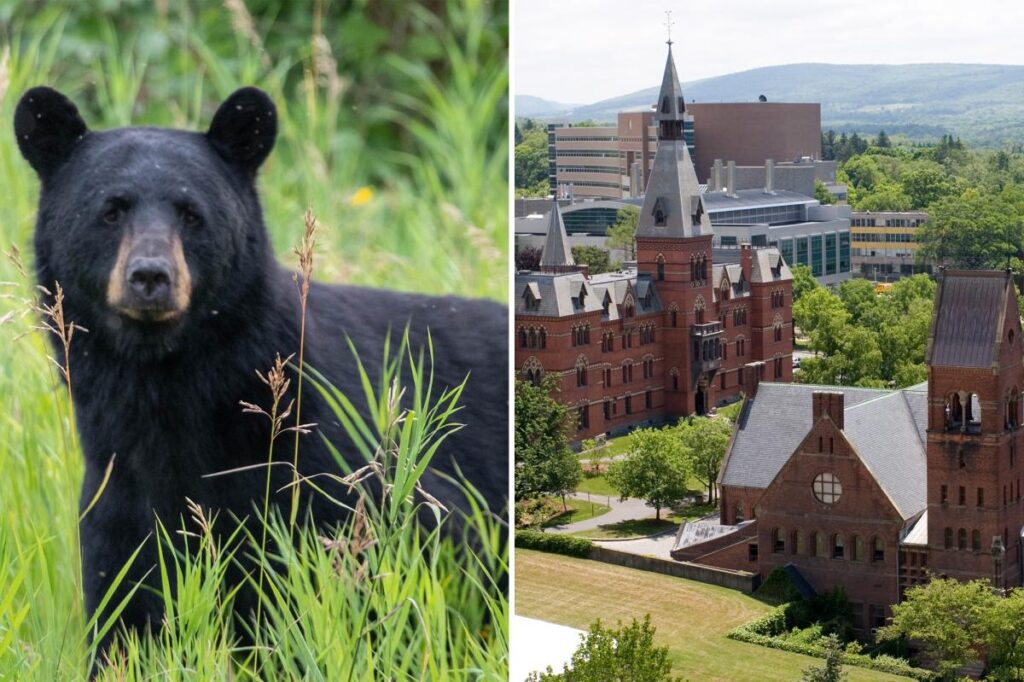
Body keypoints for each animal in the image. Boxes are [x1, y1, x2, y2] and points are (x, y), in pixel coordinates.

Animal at [13, 86, 508, 654]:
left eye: (192, 214)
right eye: (110, 211)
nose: (150, 277)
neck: (171, 386)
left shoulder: (334, 468)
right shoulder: (117, 493)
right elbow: (123, 610)